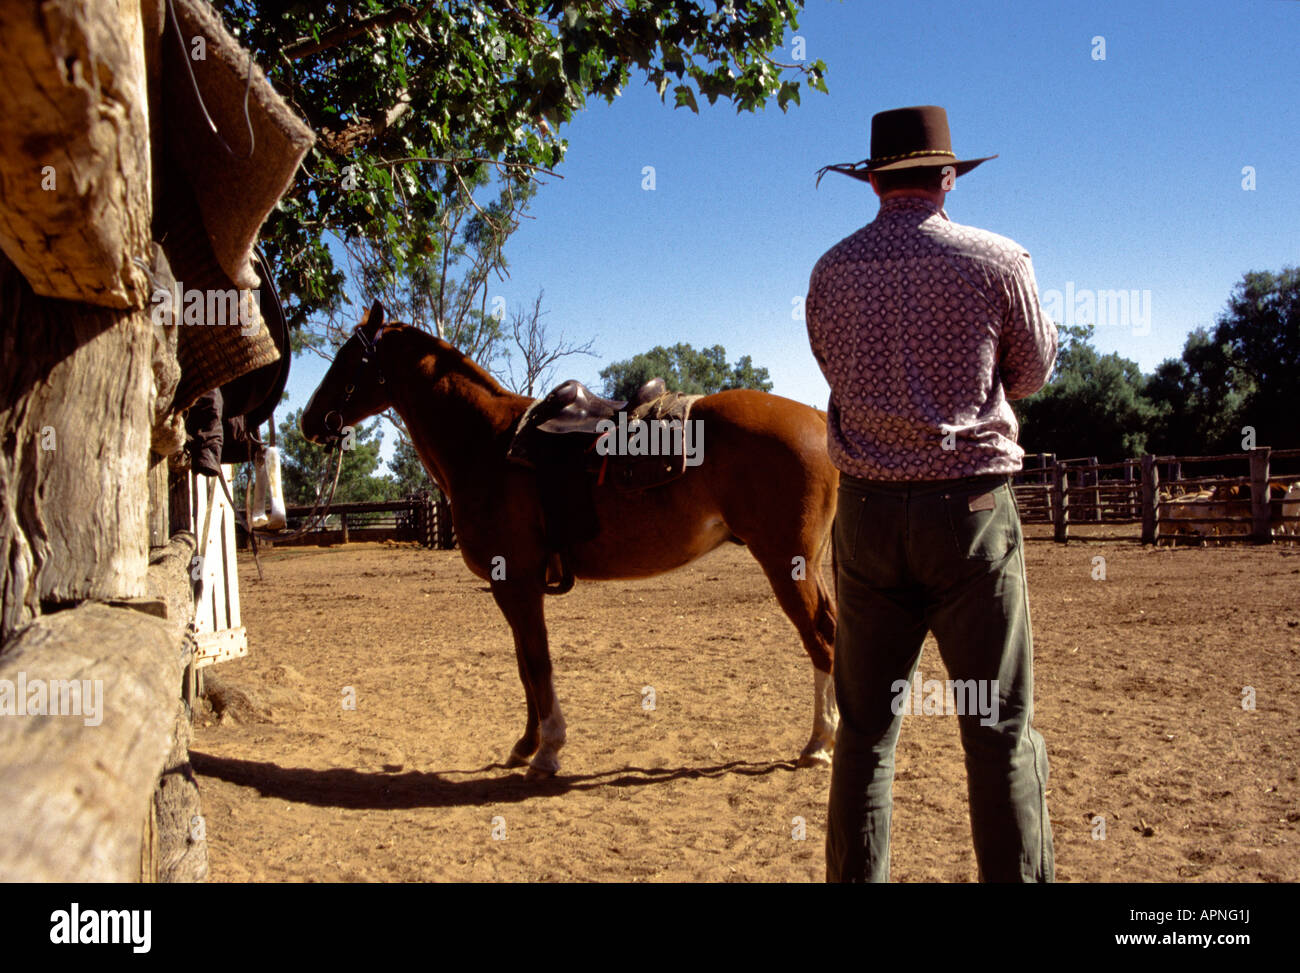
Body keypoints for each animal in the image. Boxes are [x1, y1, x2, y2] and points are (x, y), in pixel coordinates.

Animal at [301, 301, 840, 778]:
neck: (487, 442)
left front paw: (548, 750)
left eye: (349, 358)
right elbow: (524, 665)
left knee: (821, 641)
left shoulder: (516, 583)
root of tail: (815, 418)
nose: (310, 420)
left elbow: (538, 664)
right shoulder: (514, 587)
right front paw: (525, 744)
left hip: (786, 565)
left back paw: (818, 744)